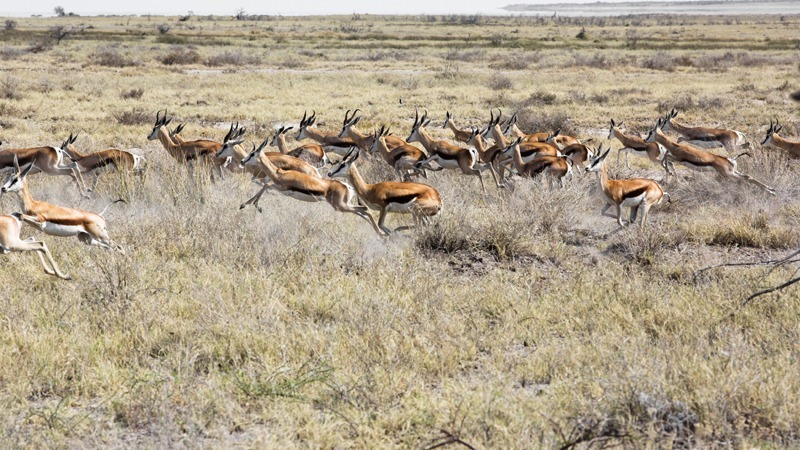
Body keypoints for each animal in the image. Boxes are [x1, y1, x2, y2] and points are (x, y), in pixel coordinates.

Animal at [239, 139, 383, 235]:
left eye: (252, 154)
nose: (242, 161)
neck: (278, 173)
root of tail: (346, 186)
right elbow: (265, 186)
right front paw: (249, 205)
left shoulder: (282, 188)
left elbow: (266, 185)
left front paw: (249, 205)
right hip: (344, 205)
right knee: (363, 211)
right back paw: (381, 233)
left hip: (341, 206)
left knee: (365, 209)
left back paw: (381, 233)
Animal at [646, 118, 776, 195]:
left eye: (650, 132)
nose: (645, 139)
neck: (676, 146)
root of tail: (730, 160)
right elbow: (666, 157)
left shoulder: (678, 159)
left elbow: (666, 158)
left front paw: (669, 172)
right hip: (733, 172)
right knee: (748, 176)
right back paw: (772, 190)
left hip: (729, 174)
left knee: (746, 177)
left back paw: (771, 191)